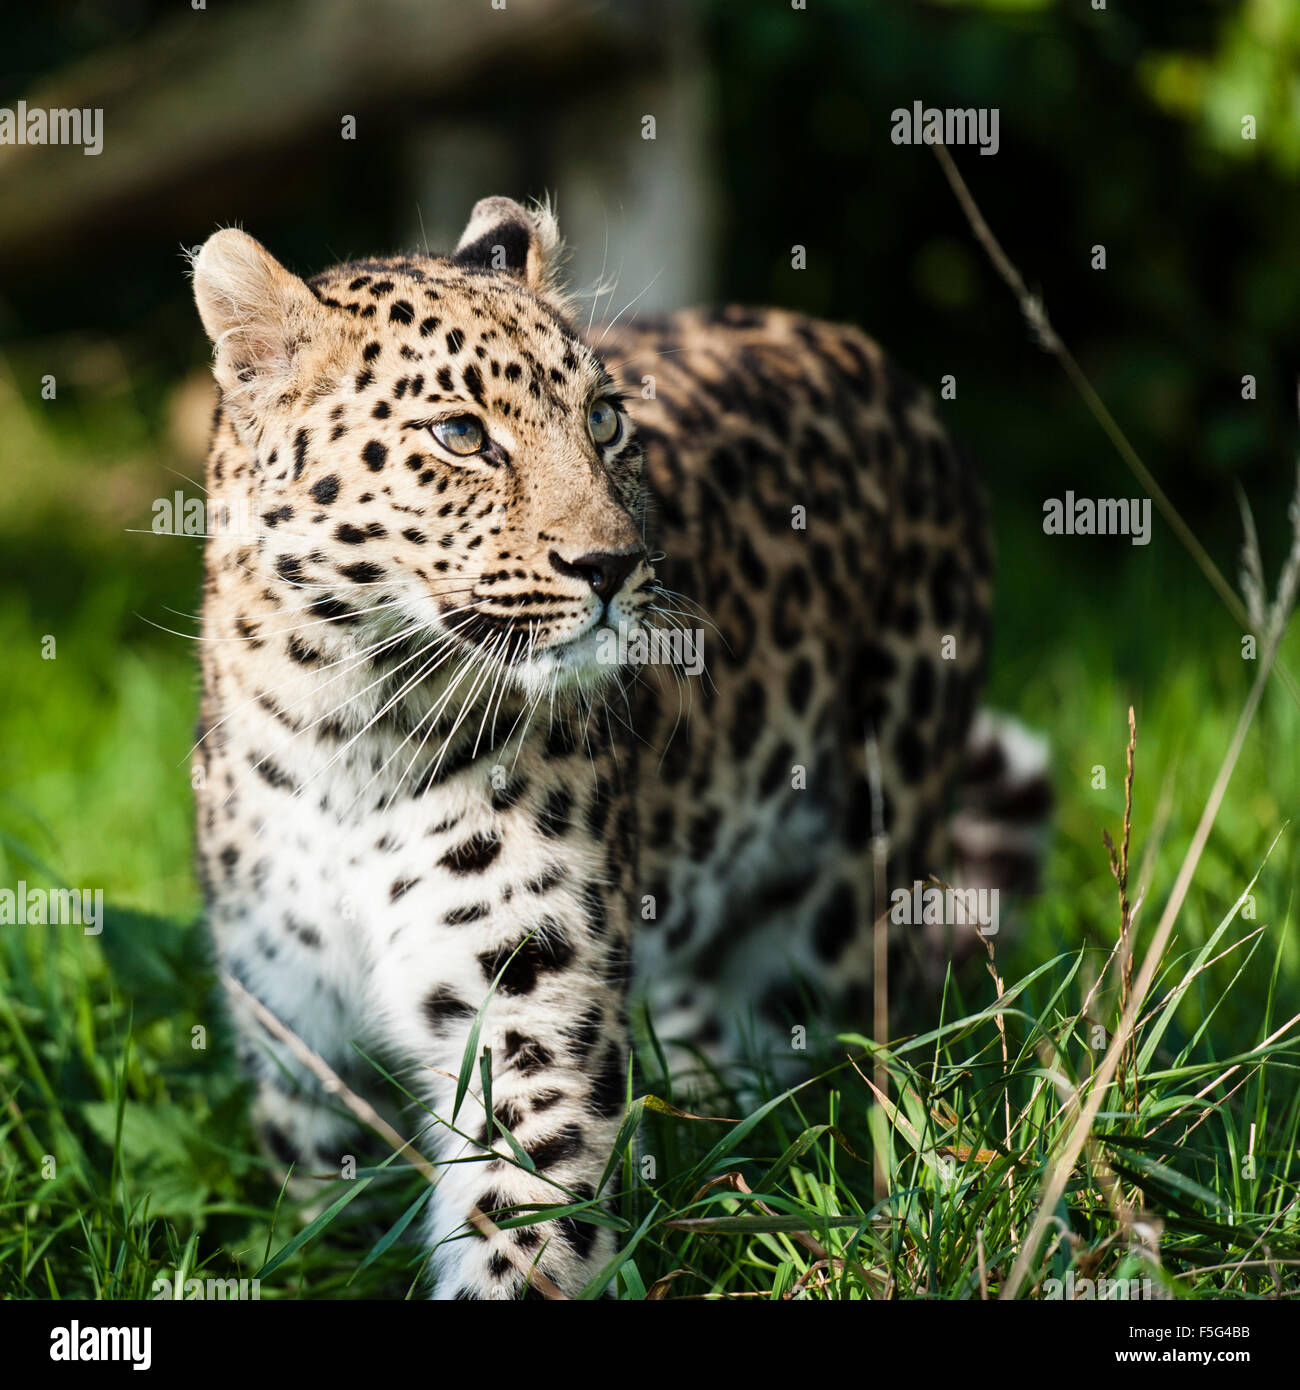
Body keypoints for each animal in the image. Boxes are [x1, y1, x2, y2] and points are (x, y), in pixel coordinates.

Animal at [189, 196, 1047, 1300]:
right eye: (460, 435)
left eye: (604, 421)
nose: (613, 564)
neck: (347, 727)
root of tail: (887, 371)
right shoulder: (292, 1035)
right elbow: (322, 1218)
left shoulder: (524, 1016)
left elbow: (522, 1225)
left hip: (851, 878)